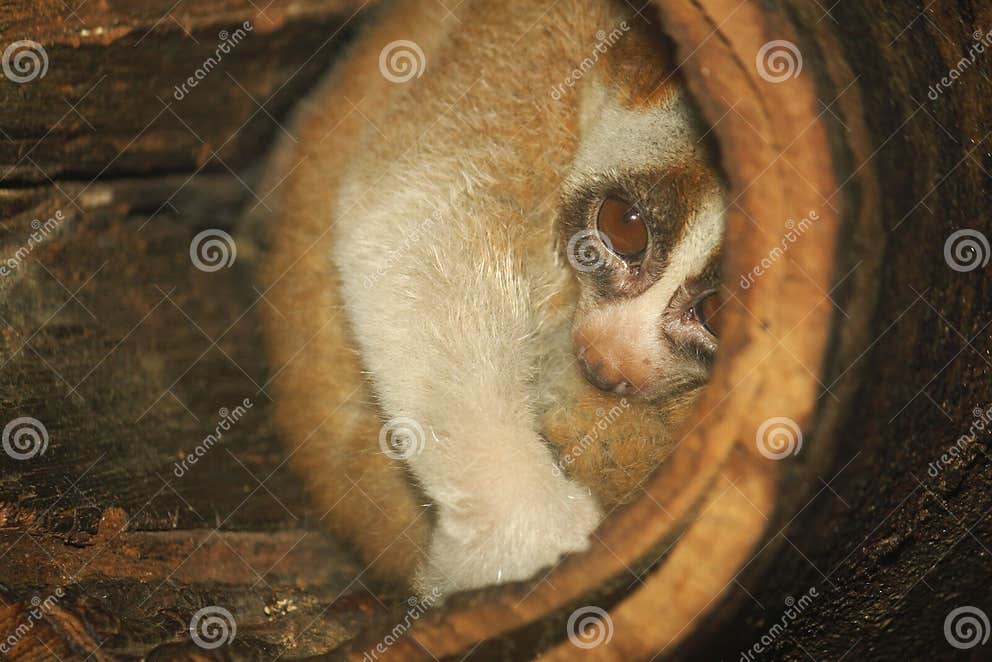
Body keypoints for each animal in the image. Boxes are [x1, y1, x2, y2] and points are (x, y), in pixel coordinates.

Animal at [257, 0, 725, 599]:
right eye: (625, 226)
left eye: (716, 314)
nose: (605, 360)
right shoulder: (543, 52)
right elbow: (416, 203)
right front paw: (524, 535)